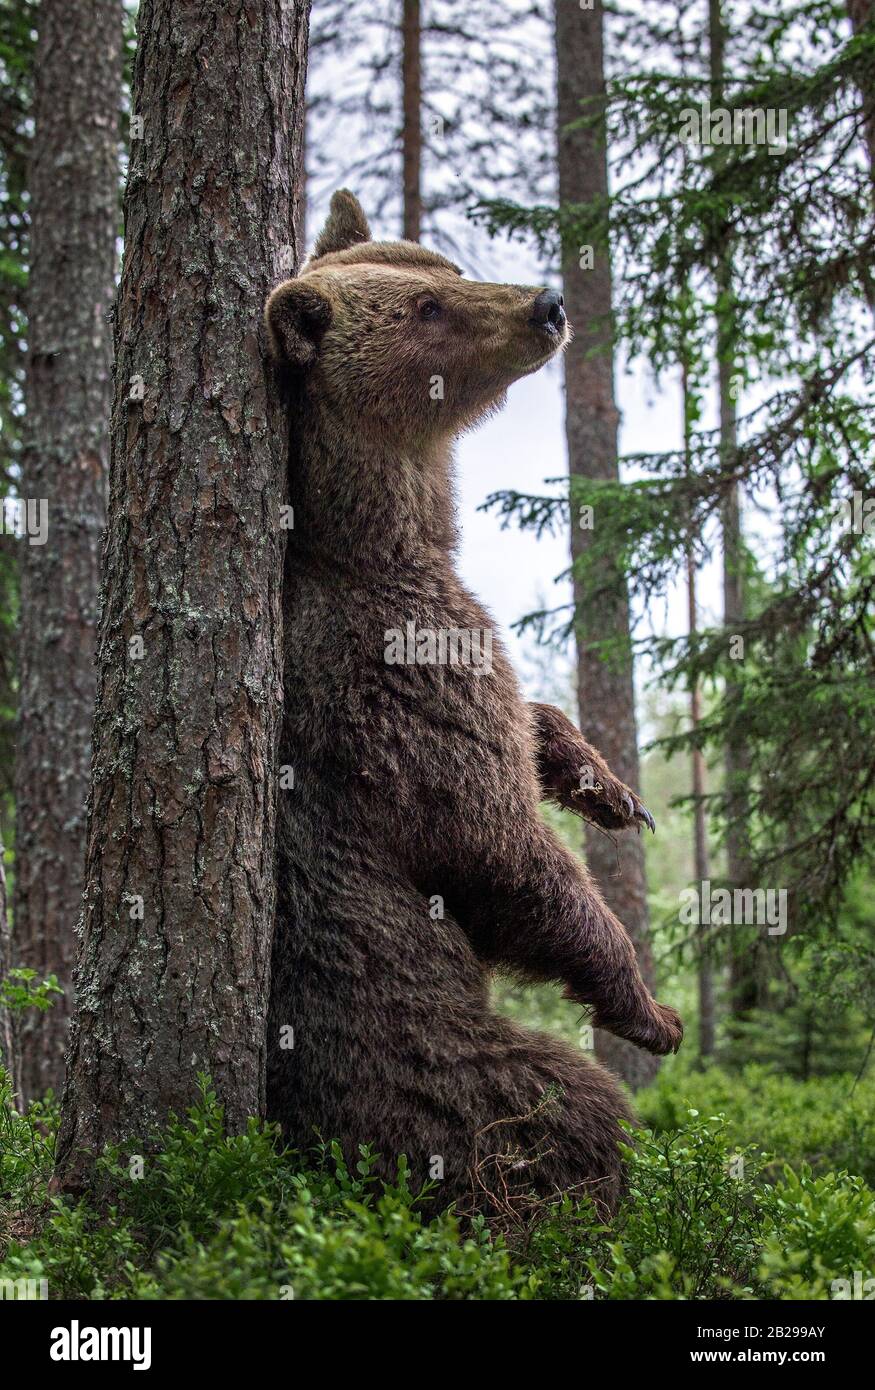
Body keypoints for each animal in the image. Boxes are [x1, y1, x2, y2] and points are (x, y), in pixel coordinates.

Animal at [264, 190, 682, 1219]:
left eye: (442, 268)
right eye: (425, 310)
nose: (545, 304)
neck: (389, 541)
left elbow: (527, 720)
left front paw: (608, 788)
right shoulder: (394, 686)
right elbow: (499, 846)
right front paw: (652, 1011)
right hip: (420, 1058)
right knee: (558, 1110)